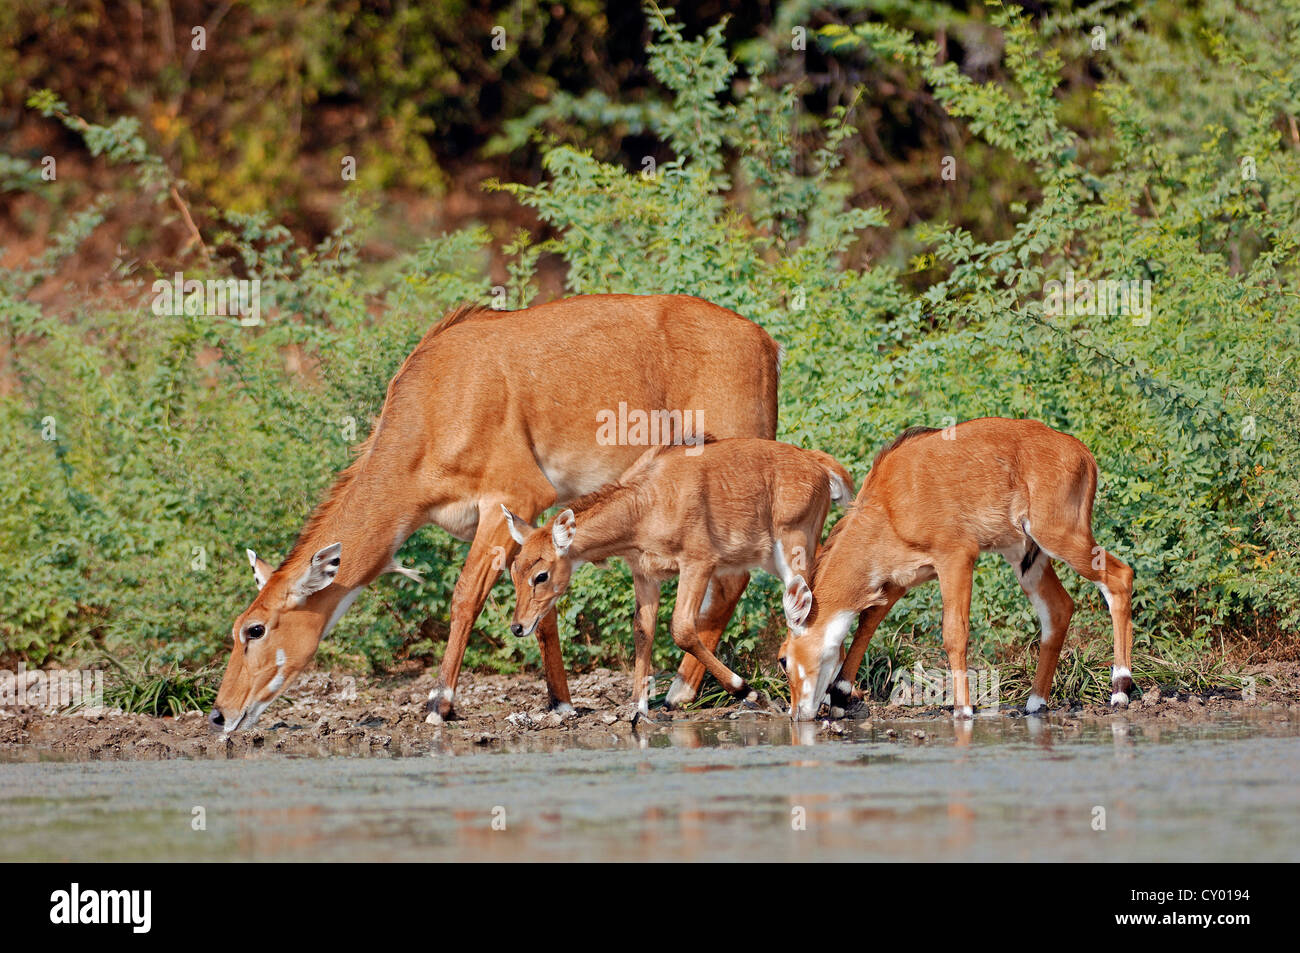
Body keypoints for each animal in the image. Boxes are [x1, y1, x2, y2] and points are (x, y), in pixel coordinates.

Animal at [210, 295, 780, 732]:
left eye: (254, 630)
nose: (219, 714)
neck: (435, 402)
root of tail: (765, 343)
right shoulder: (508, 525)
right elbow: (540, 606)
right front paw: (560, 701)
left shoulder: (514, 494)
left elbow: (465, 597)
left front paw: (439, 703)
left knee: (734, 575)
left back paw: (686, 690)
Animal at [502, 438, 854, 714]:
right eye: (514, 570)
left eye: (541, 575)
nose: (518, 626)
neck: (644, 506)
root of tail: (819, 464)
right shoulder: (645, 574)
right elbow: (643, 630)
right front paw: (638, 707)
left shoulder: (698, 562)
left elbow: (682, 628)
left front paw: (750, 692)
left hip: (796, 546)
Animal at [778, 418, 1135, 721]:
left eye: (783, 660)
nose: (796, 714)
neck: (889, 504)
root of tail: (1083, 452)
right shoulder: (901, 578)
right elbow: (867, 623)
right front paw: (840, 696)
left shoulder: (956, 556)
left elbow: (954, 632)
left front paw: (963, 709)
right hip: (1025, 555)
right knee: (1058, 608)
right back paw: (1036, 701)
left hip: (1060, 534)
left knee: (1120, 577)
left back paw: (1120, 689)